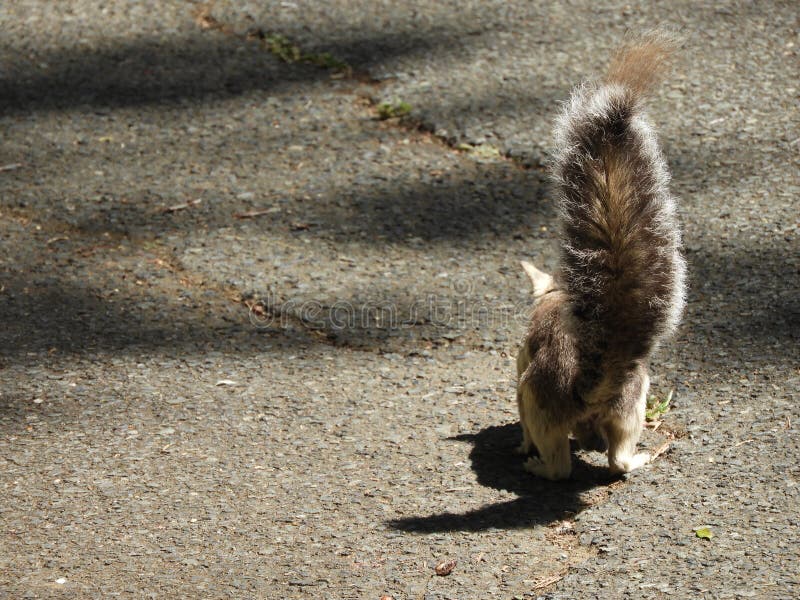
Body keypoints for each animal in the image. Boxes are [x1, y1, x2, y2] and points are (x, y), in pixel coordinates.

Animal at [516, 33, 687, 480]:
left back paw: (538, 467)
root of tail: (590, 391)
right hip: (634, 400)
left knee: (559, 463)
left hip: (538, 399)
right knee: (619, 459)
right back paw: (640, 456)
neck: (556, 293)